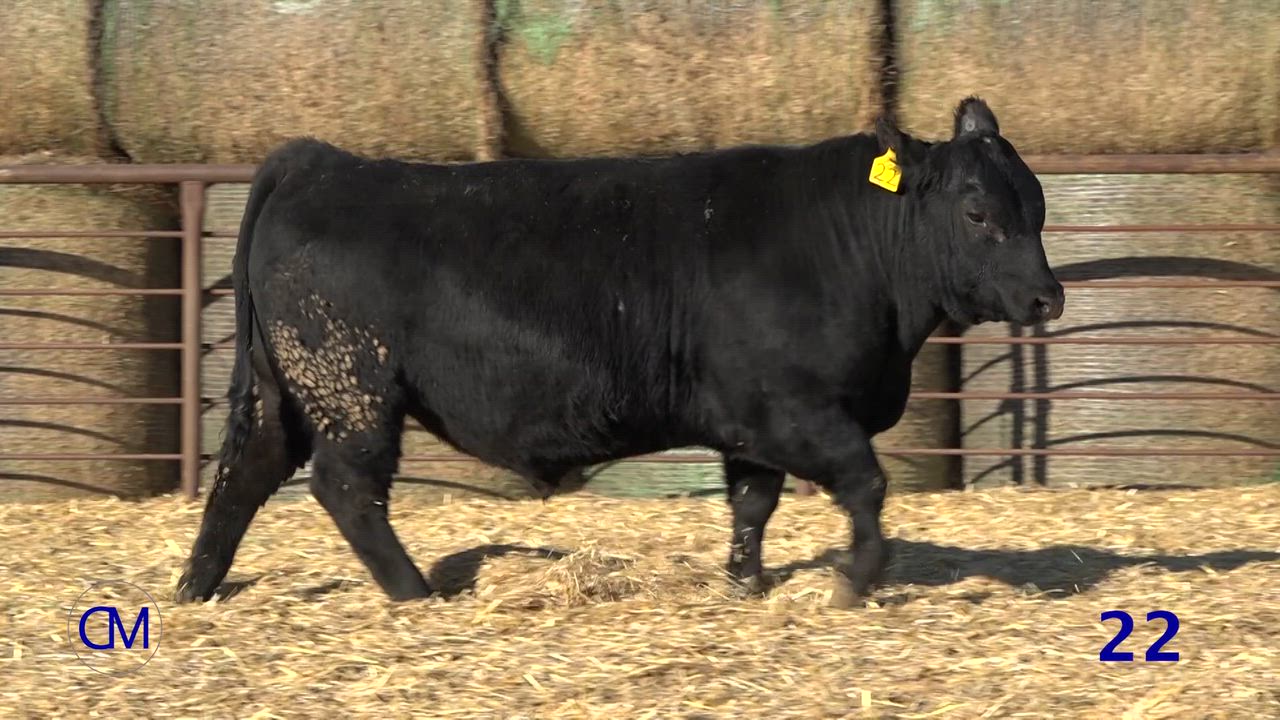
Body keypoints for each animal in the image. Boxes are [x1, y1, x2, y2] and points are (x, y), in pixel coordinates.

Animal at [174, 97, 1064, 607]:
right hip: (352, 386)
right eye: (978, 211)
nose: (1046, 298)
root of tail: (323, 163)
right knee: (346, 486)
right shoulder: (799, 412)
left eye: (1038, 204)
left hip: (288, 386)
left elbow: (752, 506)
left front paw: (744, 584)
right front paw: (853, 580)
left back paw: (195, 588)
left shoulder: (750, 425)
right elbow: (866, 485)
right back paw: (414, 592)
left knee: (244, 474)